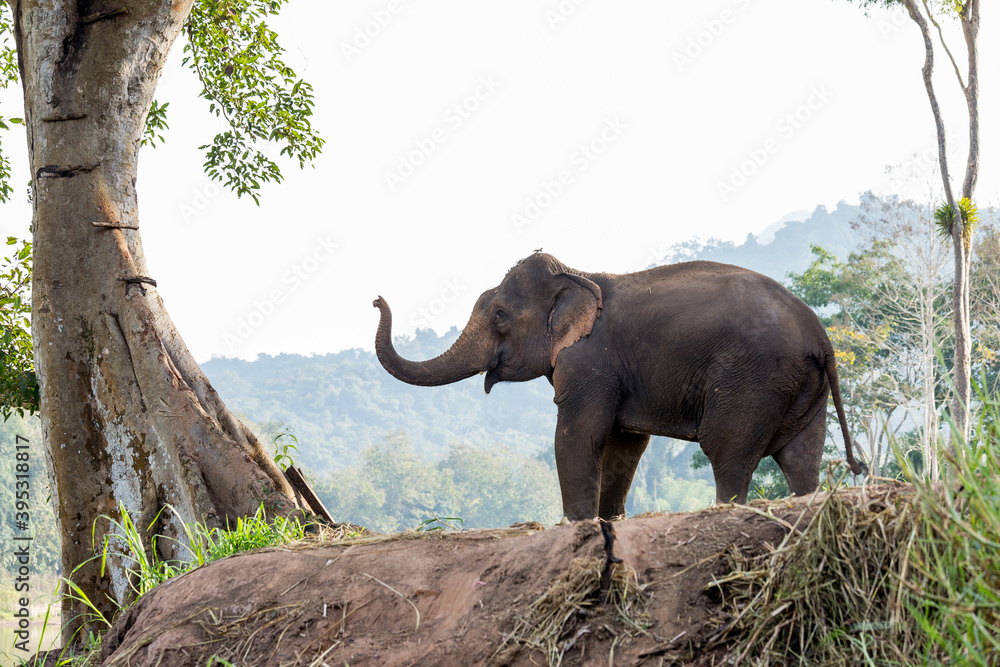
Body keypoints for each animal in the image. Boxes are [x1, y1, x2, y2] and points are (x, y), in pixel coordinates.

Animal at [373, 252, 863, 521]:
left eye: (499, 315)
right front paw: (607, 519)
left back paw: (726, 508)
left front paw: (576, 524)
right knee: (801, 458)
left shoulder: (591, 364)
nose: (376, 298)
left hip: (753, 380)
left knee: (728, 451)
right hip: (802, 389)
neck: (578, 272)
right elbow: (623, 445)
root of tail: (821, 338)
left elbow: (578, 436)